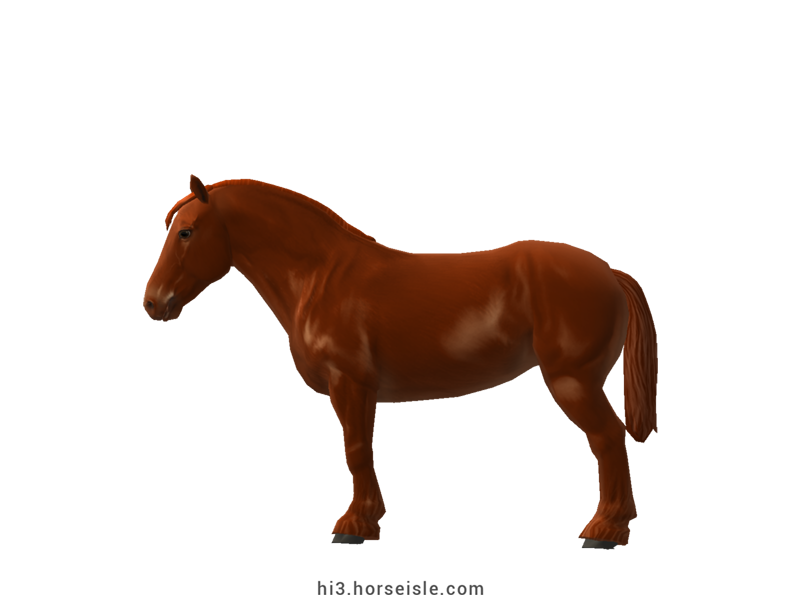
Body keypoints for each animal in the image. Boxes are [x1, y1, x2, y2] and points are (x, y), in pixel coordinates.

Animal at [143, 177, 657, 543]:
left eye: (186, 231)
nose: (153, 302)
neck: (320, 275)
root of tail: (607, 272)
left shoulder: (348, 380)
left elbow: (355, 449)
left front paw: (355, 523)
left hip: (574, 380)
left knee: (608, 441)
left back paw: (605, 528)